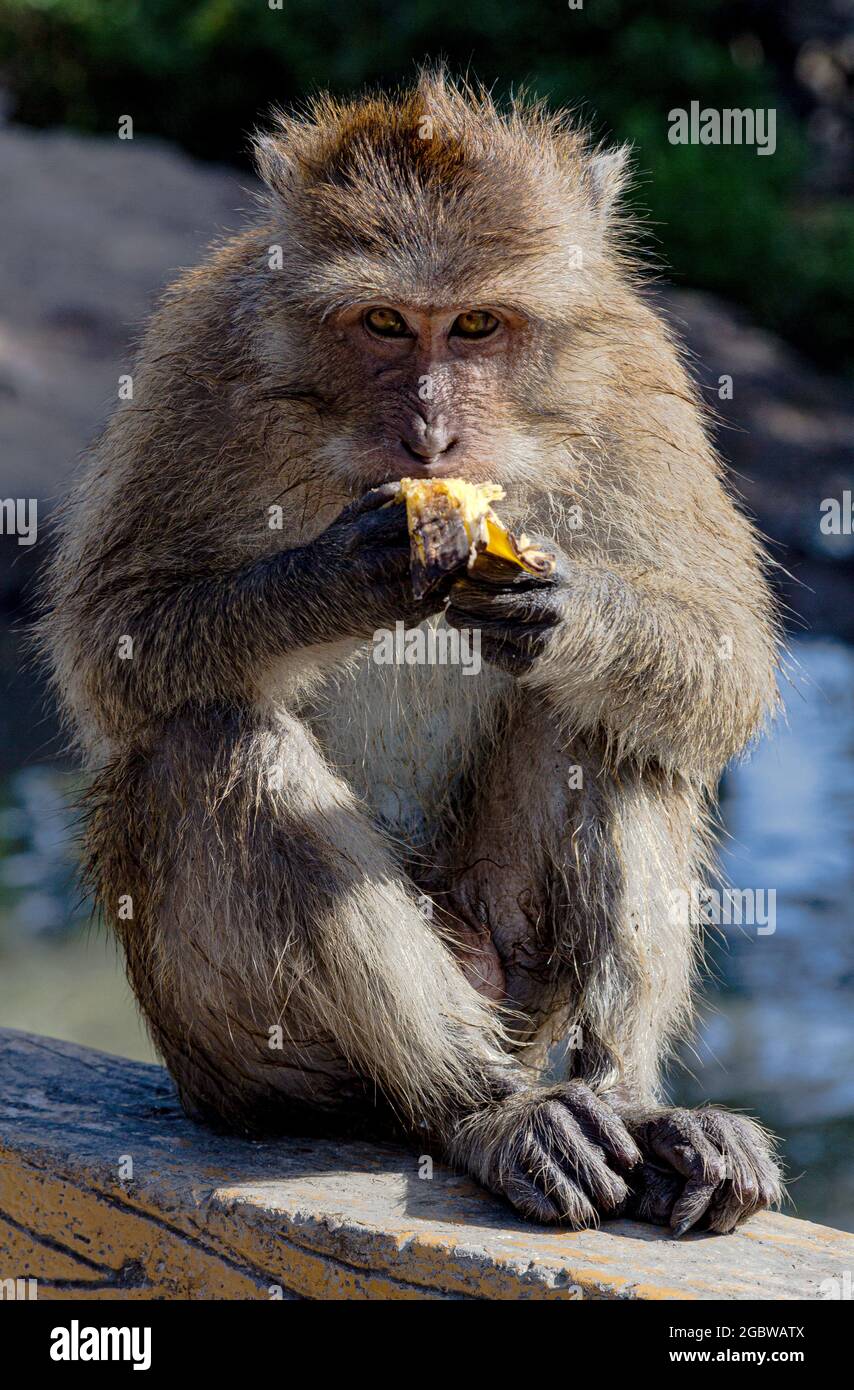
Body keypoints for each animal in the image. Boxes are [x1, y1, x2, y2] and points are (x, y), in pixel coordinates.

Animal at [40, 69, 784, 1237]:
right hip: (231, 1055)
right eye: (385, 323)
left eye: (475, 324)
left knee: (611, 723)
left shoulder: (633, 370)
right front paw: (344, 576)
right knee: (216, 742)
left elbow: (726, 658)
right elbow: (111, 642)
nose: (431, 438)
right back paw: (476, 1106)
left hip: (515, 967)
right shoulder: (199, 353)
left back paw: (629, 1099)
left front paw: (566, 610)